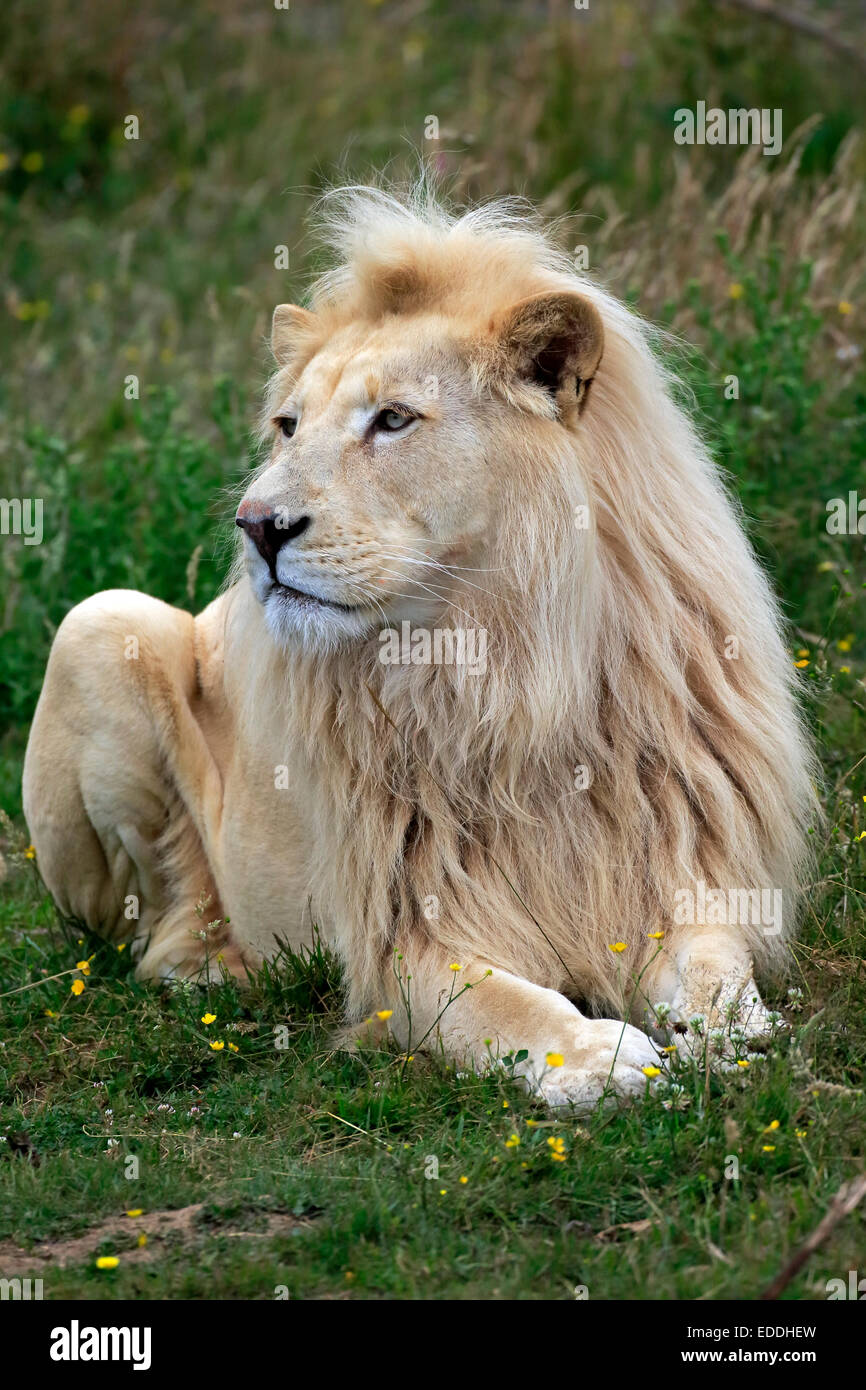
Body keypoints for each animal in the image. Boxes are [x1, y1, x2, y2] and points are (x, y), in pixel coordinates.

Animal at [22, 184, 816, 1109]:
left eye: (393, 419)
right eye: (288, 426)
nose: (256, 525)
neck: (507, 668)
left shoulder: (681, 871)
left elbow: (715, 965)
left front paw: (738, 1032)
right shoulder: (402, 939)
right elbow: (502, 1008)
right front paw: (596, 1058)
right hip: (100, 624)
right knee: (146, 926)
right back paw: (211, 962)